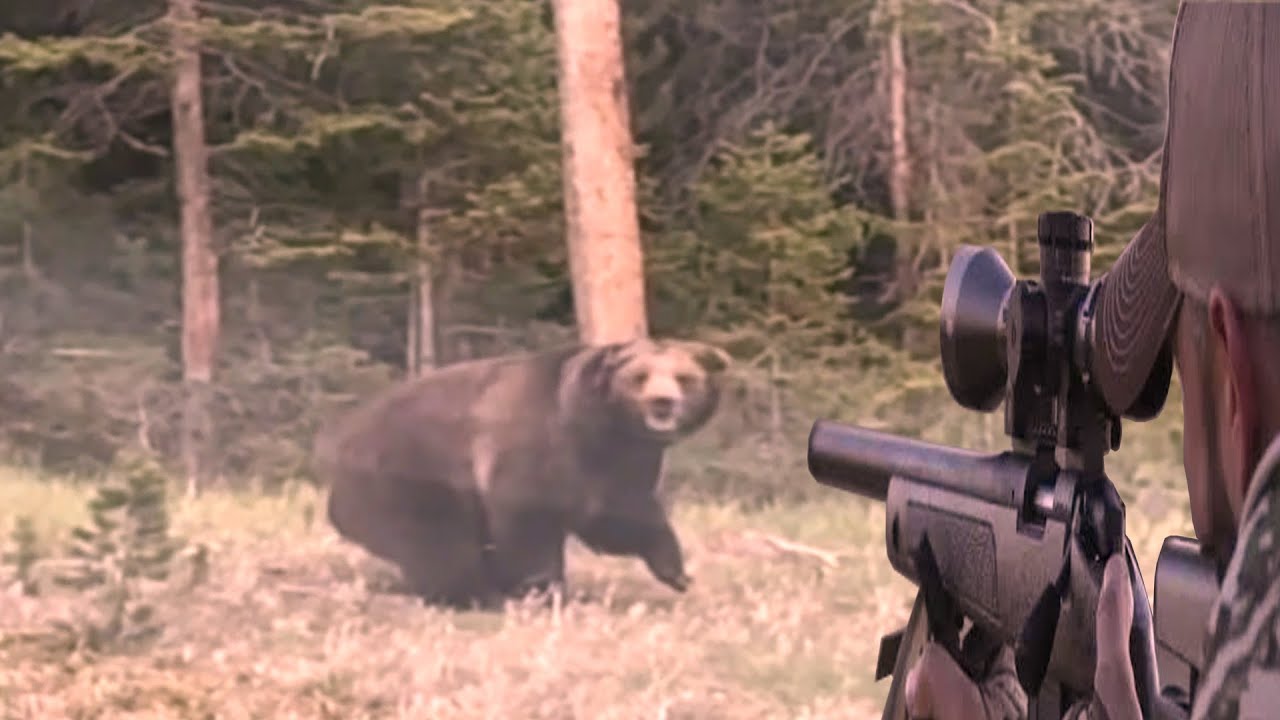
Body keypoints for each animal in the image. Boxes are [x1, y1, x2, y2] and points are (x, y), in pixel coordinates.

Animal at [312, 337, 732, 609]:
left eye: (684, 378)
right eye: (639, 376)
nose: (663, 402)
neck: (598, 428)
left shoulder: (621, 466)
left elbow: (624, 516)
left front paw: (676, 570)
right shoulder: (534, 447)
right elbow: (528, 520)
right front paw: (542, 589)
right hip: (412, 471)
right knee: (437, 540)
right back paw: (473, 594)